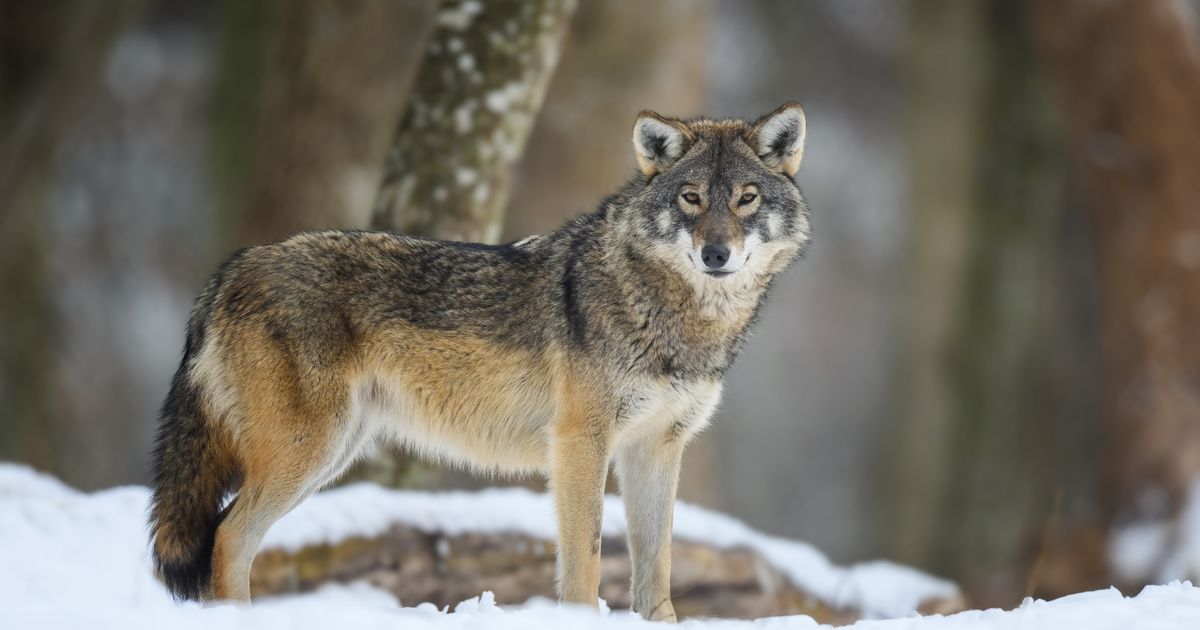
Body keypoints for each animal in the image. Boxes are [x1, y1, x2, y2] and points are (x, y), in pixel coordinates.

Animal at [149, 102, 810, 621]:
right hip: (307, 451)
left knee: (230, 540)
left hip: (330, 455)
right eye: (691, 199)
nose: (716, 253)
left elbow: (658, 571)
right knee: (227, 538)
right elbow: (586, 564)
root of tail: (234, 265)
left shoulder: (657, 448)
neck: (675, 318)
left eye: (746, 200)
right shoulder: (581, 443)